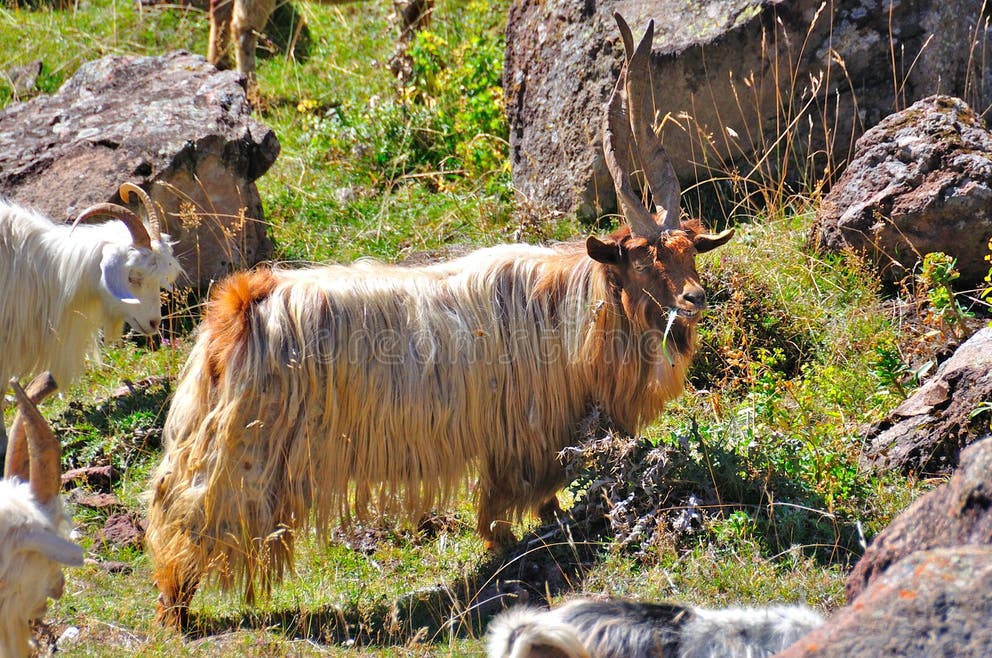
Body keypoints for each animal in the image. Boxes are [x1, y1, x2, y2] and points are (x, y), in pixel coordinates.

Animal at [145, 14, 734, 627]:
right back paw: (176, 610)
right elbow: (513, 505)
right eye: (643, 261)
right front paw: (516, 545)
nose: (695, 298)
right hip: (240, 453)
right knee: (186, 513)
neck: (571, 307)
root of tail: (238, 304)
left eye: (689, 252)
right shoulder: (524, 438)